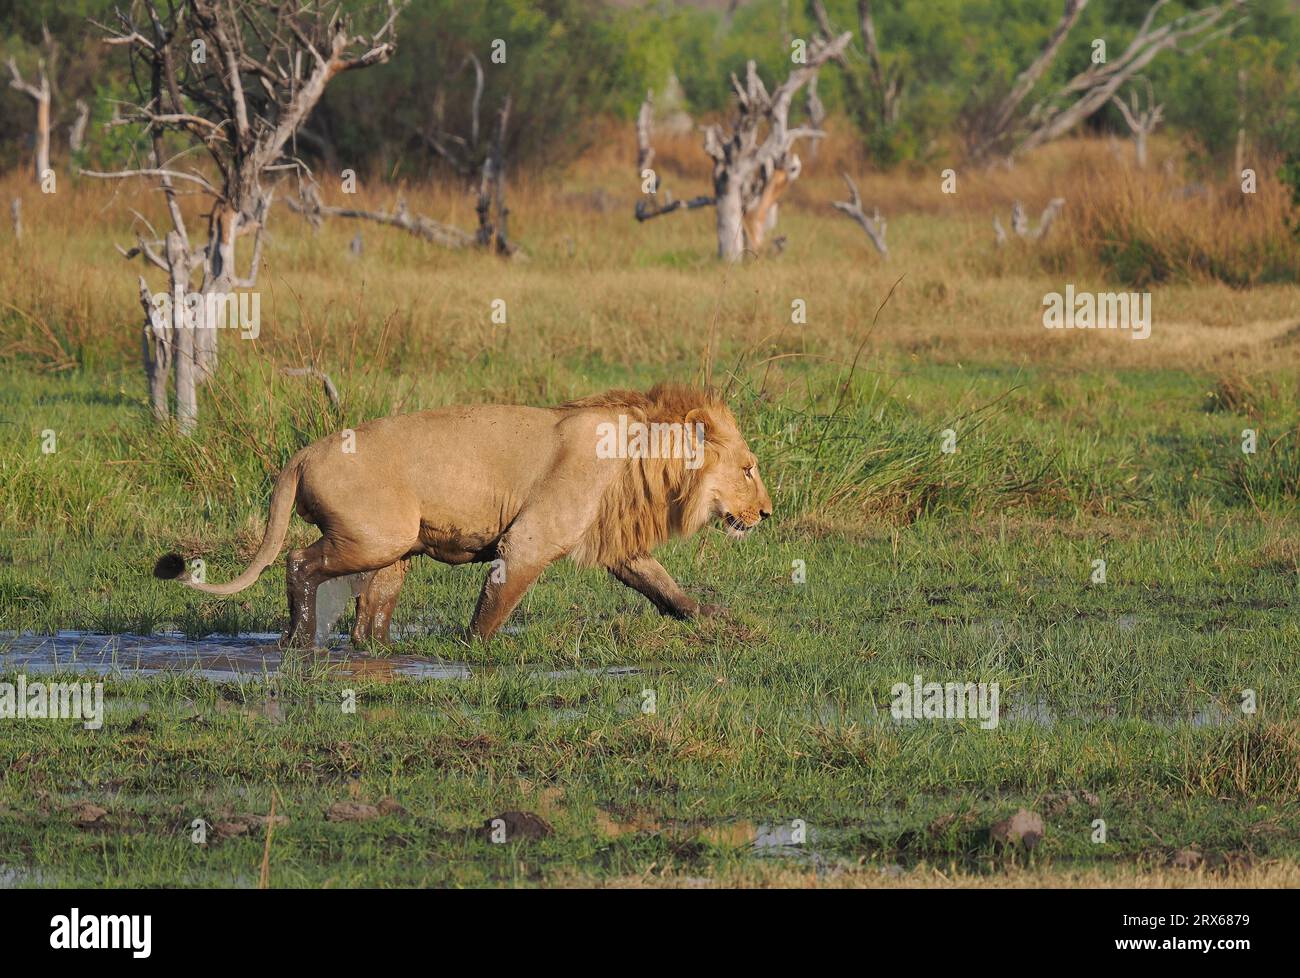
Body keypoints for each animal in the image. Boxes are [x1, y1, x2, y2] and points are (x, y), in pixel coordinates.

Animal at [153, 384, 772, 646]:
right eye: (748, 469)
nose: (767, 514)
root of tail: (303, 453)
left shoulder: (611, 541)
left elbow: (664, 586)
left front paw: (711, 617)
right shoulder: (529, 540)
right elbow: (496, 602)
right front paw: (474, 649)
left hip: (394, 547)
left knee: (370, 614)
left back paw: (376, 649)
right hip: (376, 535)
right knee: (299, 565)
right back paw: (299, 641)